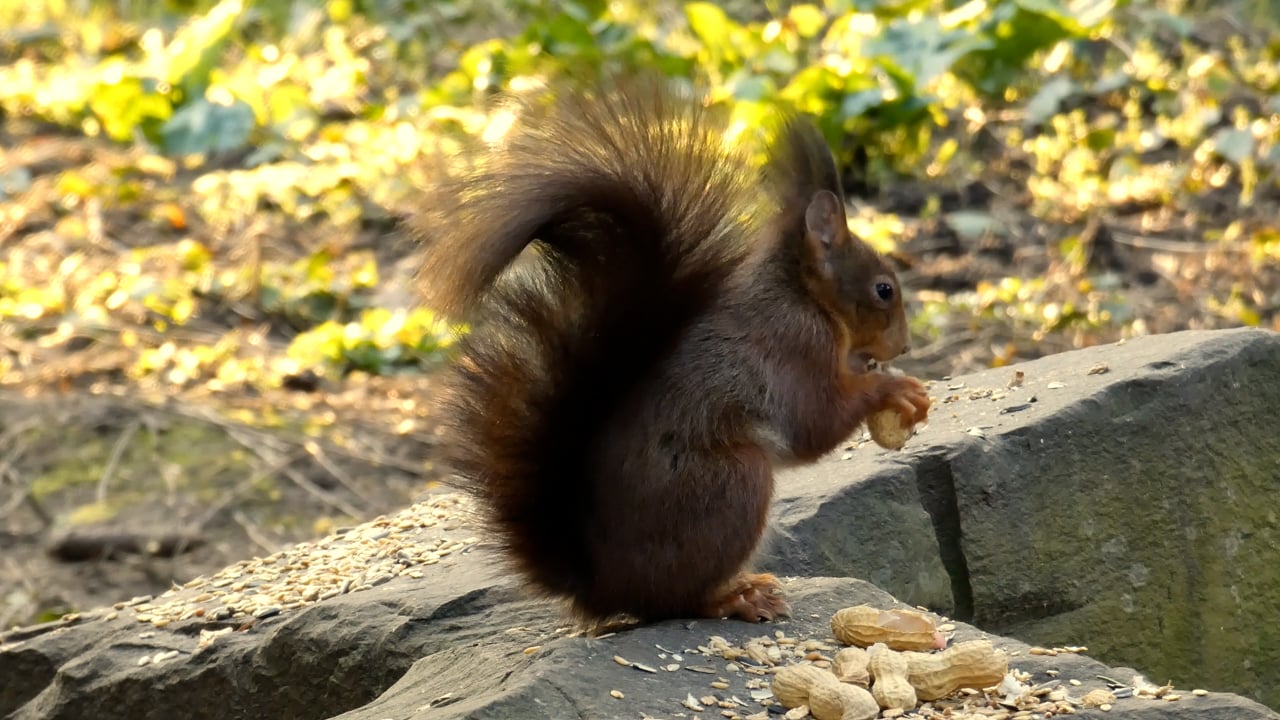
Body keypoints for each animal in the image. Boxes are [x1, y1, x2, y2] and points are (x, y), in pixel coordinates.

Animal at [411, 76, 931, 625]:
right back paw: (736, 597)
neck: (802, 295)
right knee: (676, 600)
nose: (905, 345)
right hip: (732, 484)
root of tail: (602, 587)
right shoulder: (795, 345)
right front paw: (894, 388)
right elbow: (816, 423)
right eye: (884, 290)